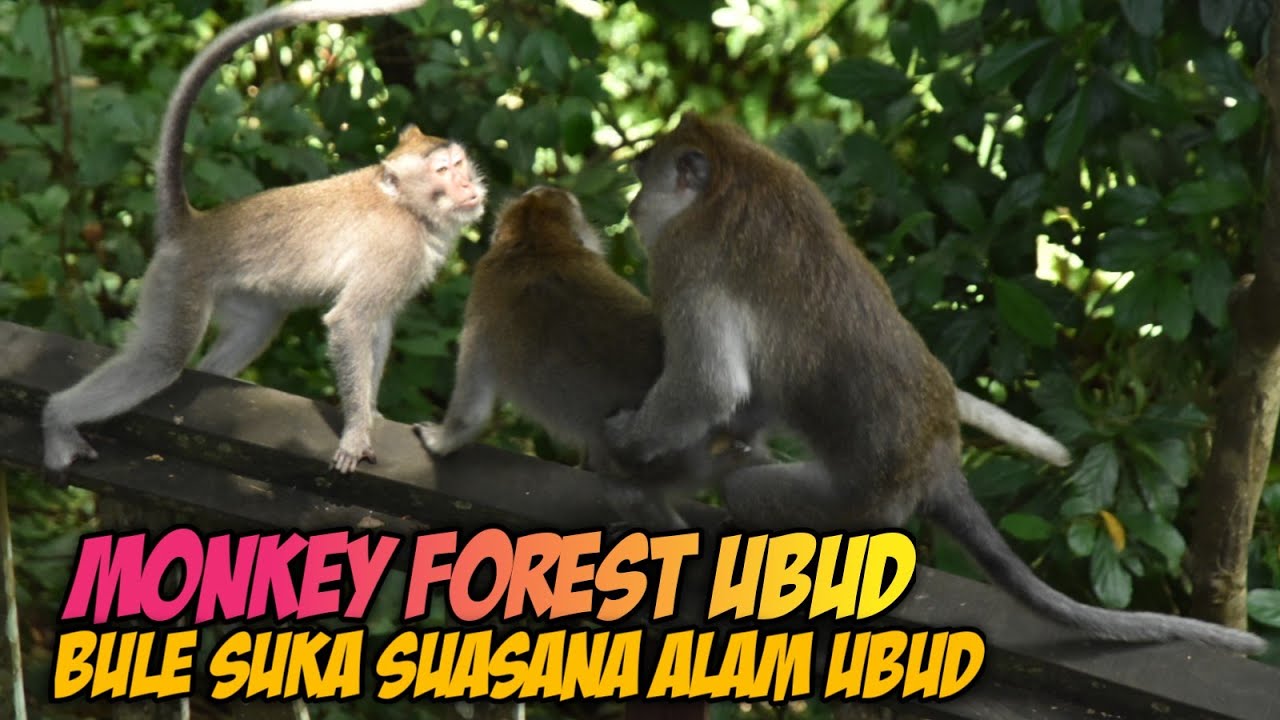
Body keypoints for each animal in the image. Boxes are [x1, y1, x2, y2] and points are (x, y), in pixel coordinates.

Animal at [42, 0, 487, 476]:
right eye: (443, 171)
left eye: (459, 164)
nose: (467, 186)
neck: (408, 209)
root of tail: (192, 225)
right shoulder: (396, 249)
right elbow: (350, 322)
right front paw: (356, 432)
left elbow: (377, 326)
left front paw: (369, 411)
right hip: (176, 284)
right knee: (160, 359)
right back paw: (57, 419)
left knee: (260, 323)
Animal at [603, 112, 1266, 655]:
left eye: (644, 173)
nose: (631, 208)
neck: (735, 172)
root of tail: (937, 462)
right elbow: (749, 389)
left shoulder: (683, 259)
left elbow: (710, 384)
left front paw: (628, 443)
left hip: (853, 507)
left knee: (750, 491)